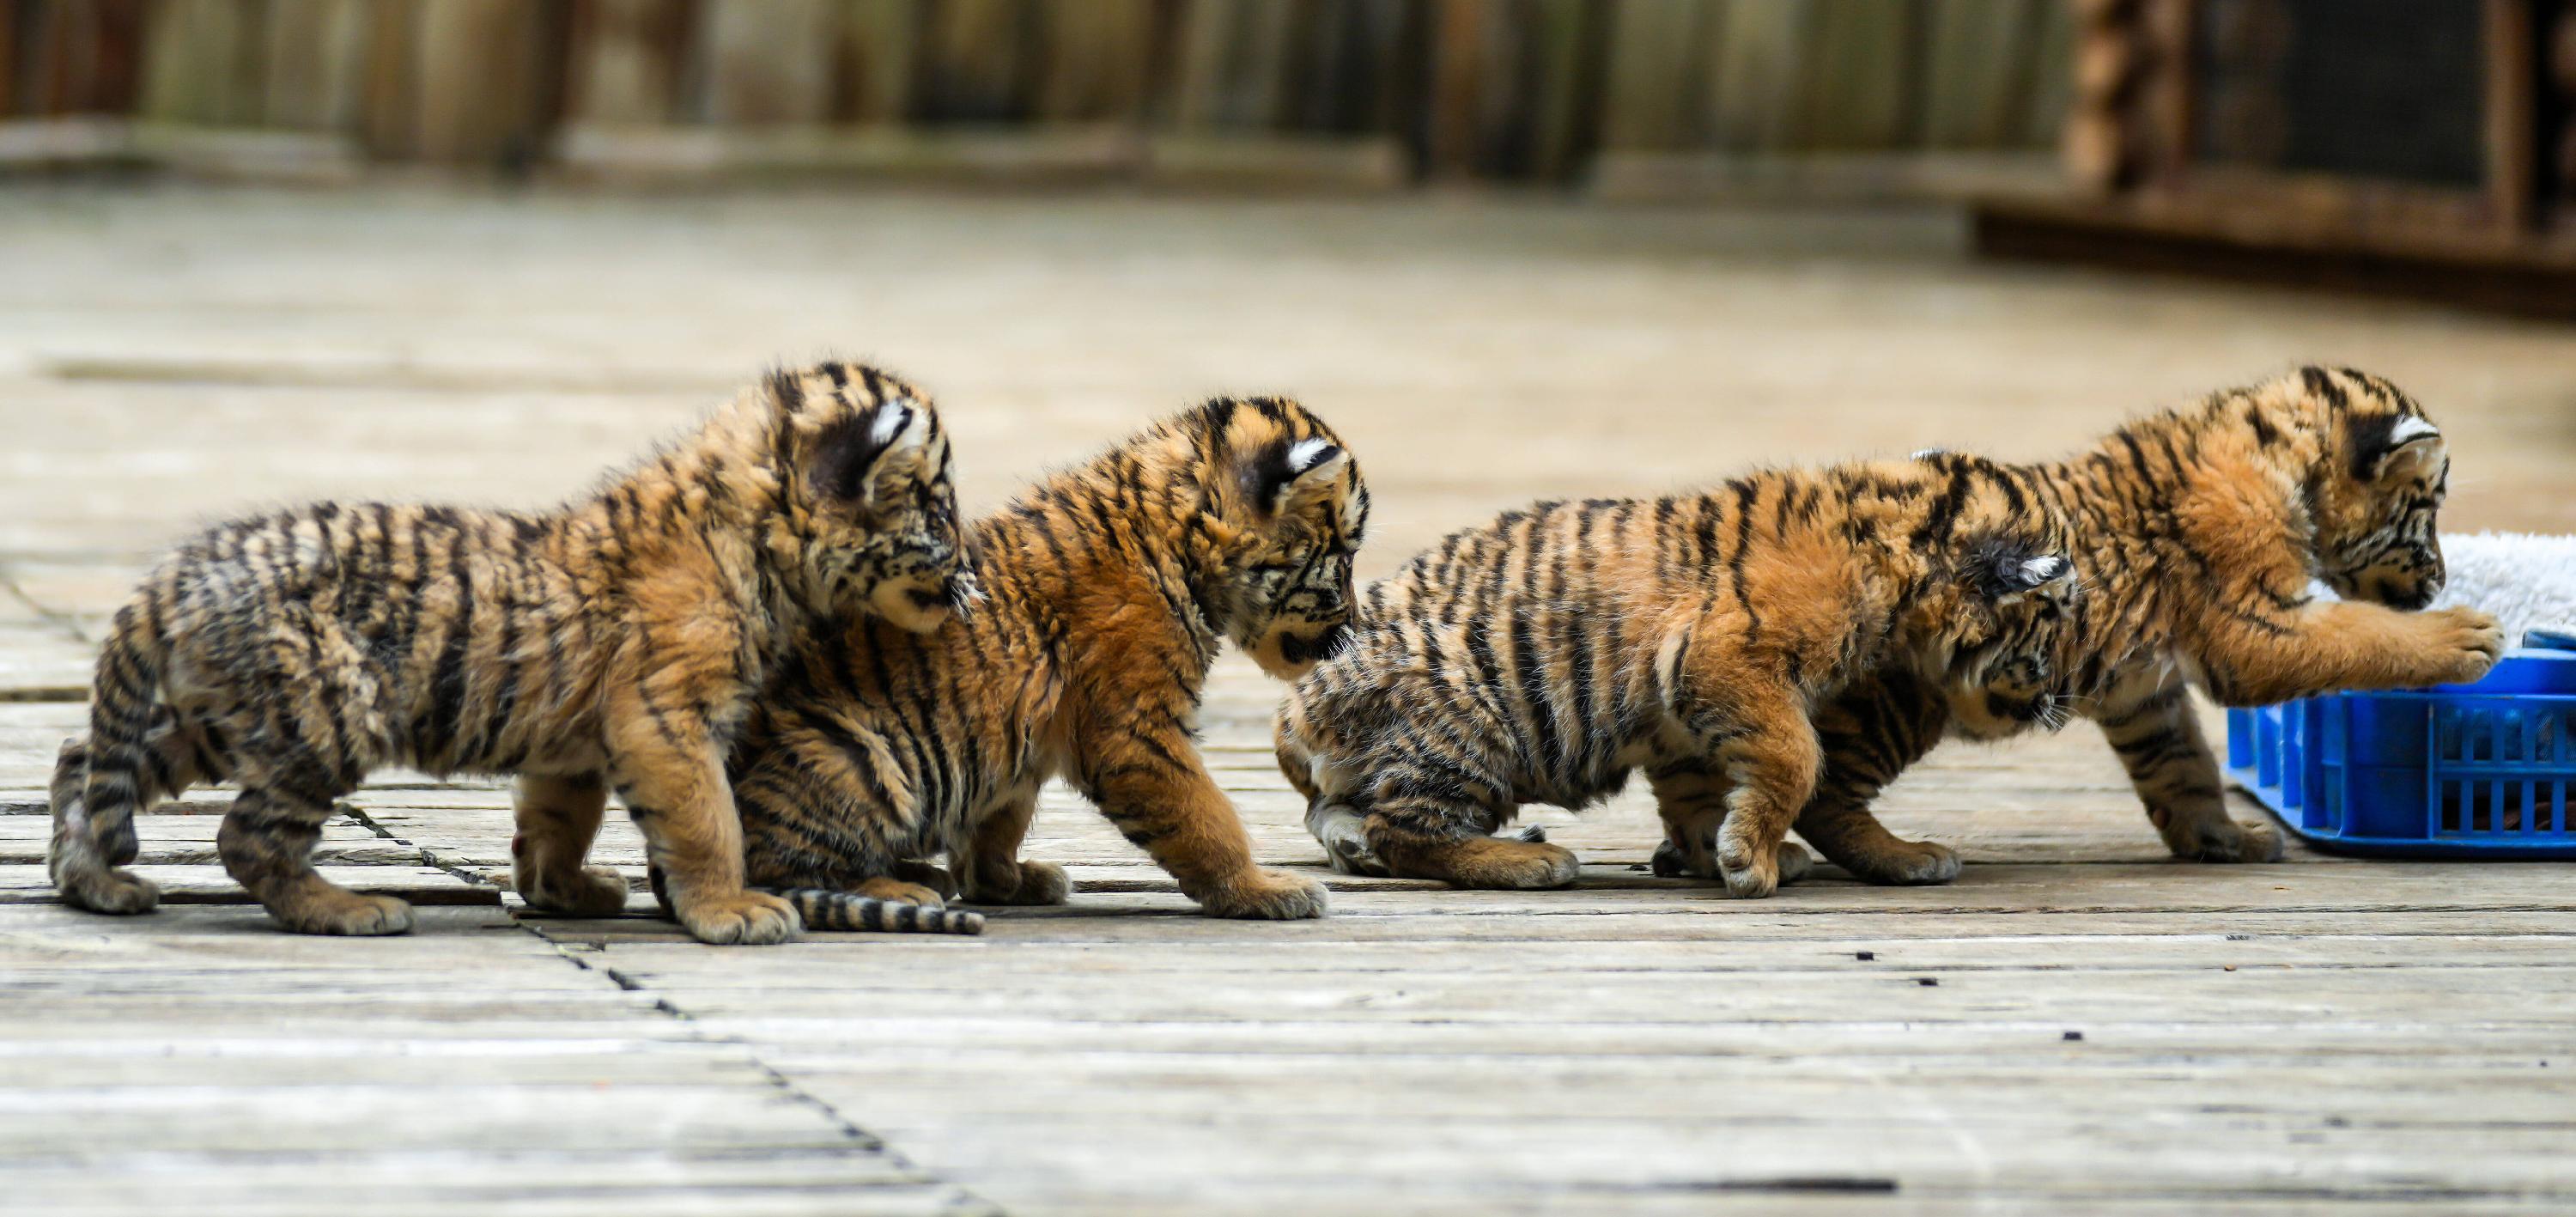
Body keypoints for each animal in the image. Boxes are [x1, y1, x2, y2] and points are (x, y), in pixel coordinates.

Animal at [46, 361, 972, 945]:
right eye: (940, 508)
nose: (969, 569)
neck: (757, 539)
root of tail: (174, 575)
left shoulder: (581, 741)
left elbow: (561, 819)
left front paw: (566, 890)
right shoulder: (667, 716)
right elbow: (709, 819)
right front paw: (732, 909)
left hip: (220, 716)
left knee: (84, 759)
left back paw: (96, 884)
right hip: (326, 716)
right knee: (248, 837)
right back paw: (348, 909)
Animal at [627, 395, 1366, 930]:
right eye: (1346, 554)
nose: (1356, 628)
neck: (1178, 536)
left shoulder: (1020, 746)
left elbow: (997, 818)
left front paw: (1006, 880)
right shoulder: (1134, 733)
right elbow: (1204, 815)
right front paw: (1260, 888)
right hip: (858, 755)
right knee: (777, 865)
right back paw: (901, 886)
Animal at [1275, 450, 2081, 898]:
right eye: (2059, 614)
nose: (2060, 700)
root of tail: (1291, 714)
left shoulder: (1683, 720)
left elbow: (1701, 793)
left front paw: (1725, 850)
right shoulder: (1729, 659)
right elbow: (1796, 757)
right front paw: (1750, 861)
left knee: (1345, 817)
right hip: (1469, 710)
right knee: (1404, 830)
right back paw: (1531, 861)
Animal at [1727, 366, 2504, 887]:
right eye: (2429, 506)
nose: (2439, 580)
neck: (2278, 455)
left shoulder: (2145, 689)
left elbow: (2186, 766)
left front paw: (2226, 838)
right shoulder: (2254, 625)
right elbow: (2360, 634)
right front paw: (2469, 637)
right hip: (1899, 702)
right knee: (1824, 787)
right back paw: (1910, 857)